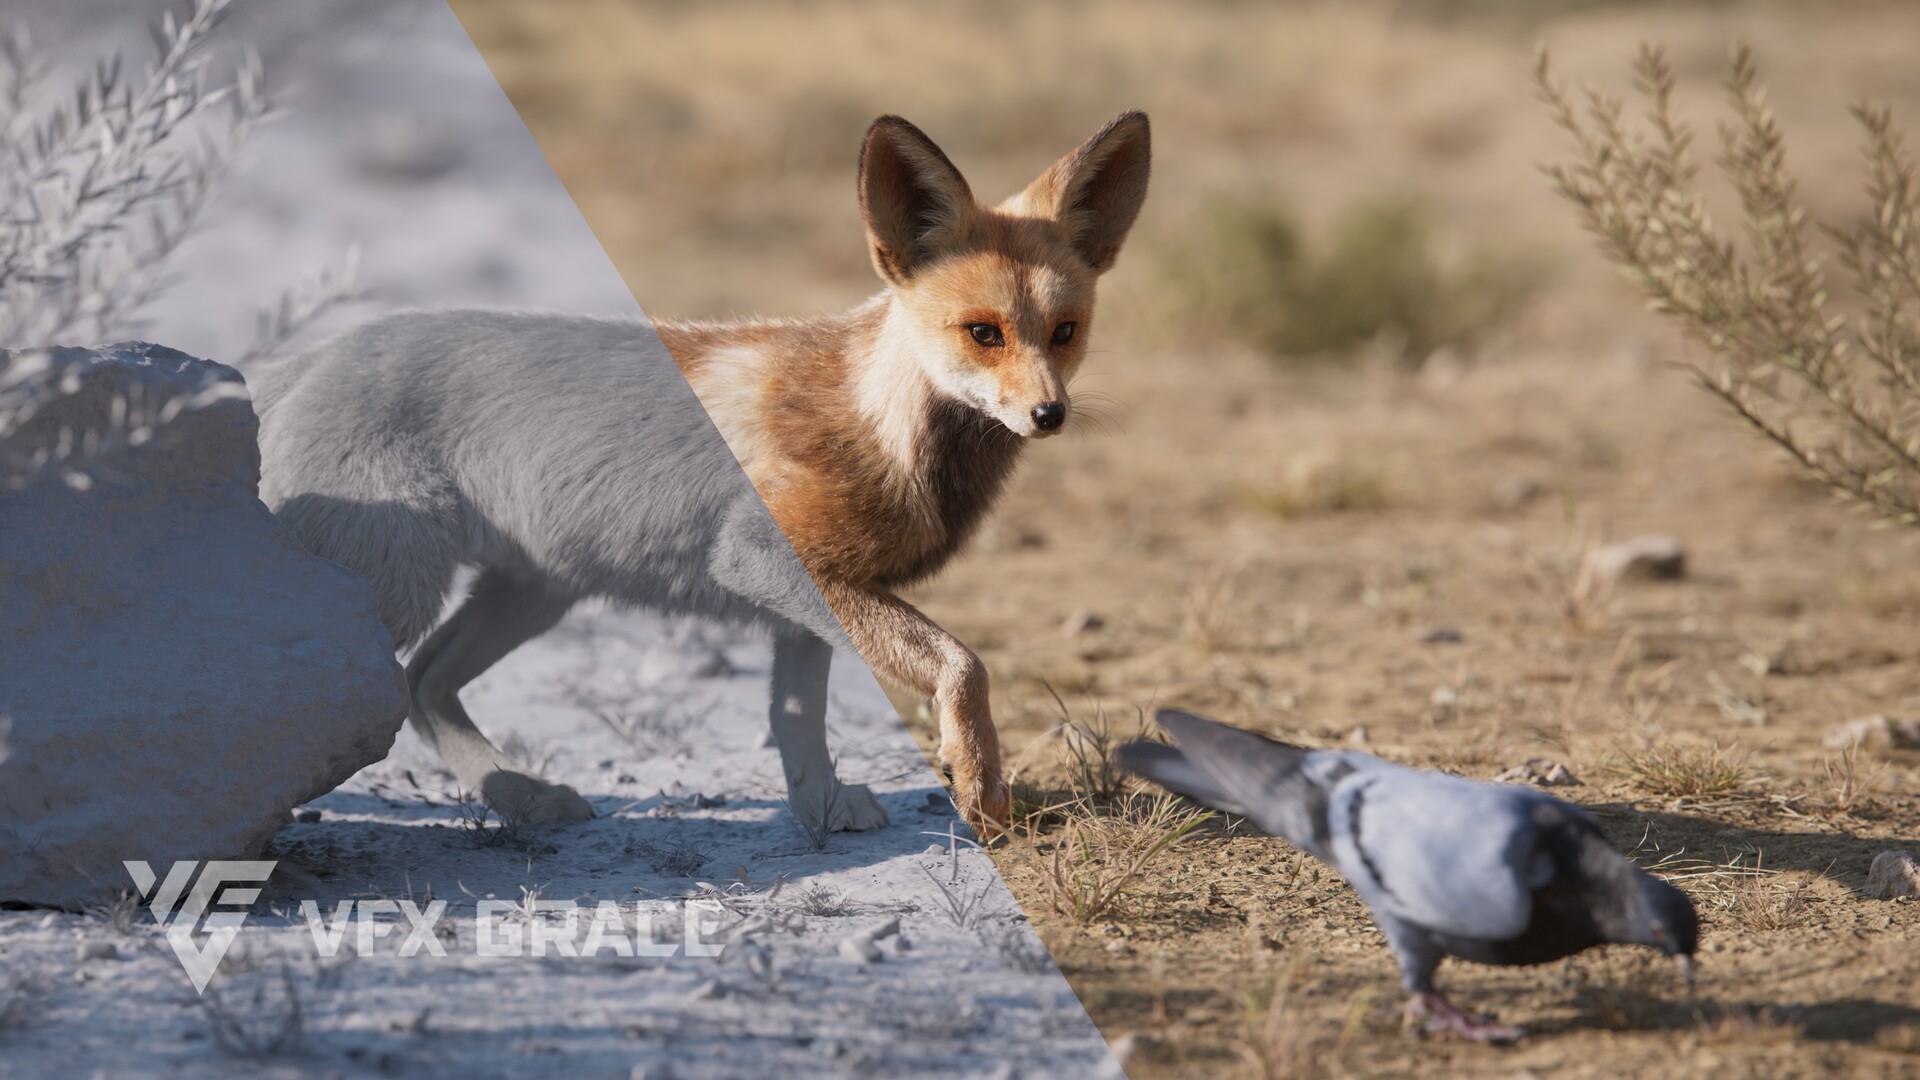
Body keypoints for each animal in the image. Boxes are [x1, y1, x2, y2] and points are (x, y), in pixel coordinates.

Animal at [249, 111, 1149, 837]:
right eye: (983, 333)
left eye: (1064, 332)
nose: (1049, 414)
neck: (884, 425)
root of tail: (314, 357)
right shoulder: (764, 556)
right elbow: (962, 665)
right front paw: (979, 786)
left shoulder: (810, 600)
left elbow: (798, 722)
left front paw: (823, 810)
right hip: (403, 589)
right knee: (356, 683)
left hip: (532, 593)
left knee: (423, 685)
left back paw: (518, 795)